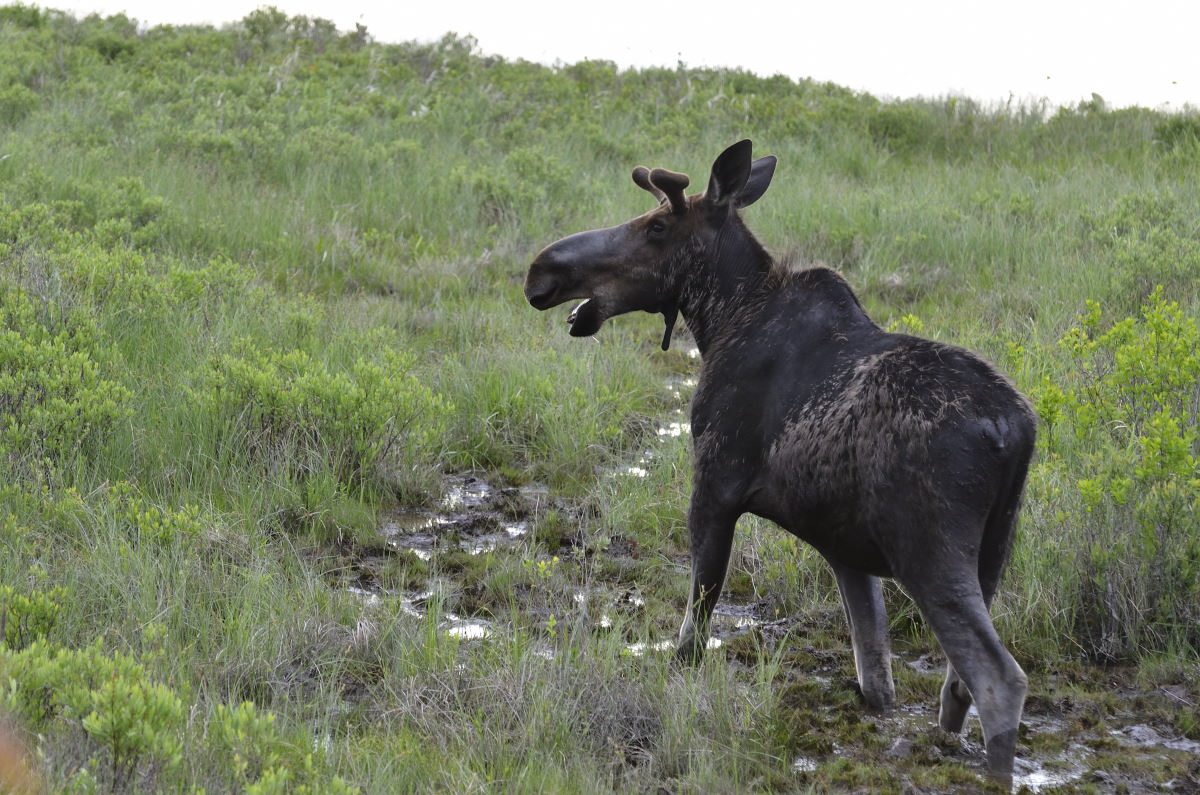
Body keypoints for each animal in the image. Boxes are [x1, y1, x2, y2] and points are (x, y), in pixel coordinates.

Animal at [523, 140, 1036, 785]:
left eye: (657, 227)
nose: (541, 270)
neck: (718, 320)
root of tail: (1013, 430)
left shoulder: (715, 486)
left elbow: (695, 625)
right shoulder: (846, 549)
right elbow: (875, 673)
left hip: (927, 550)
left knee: (999, 680)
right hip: (995, 548)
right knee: (957, 683)